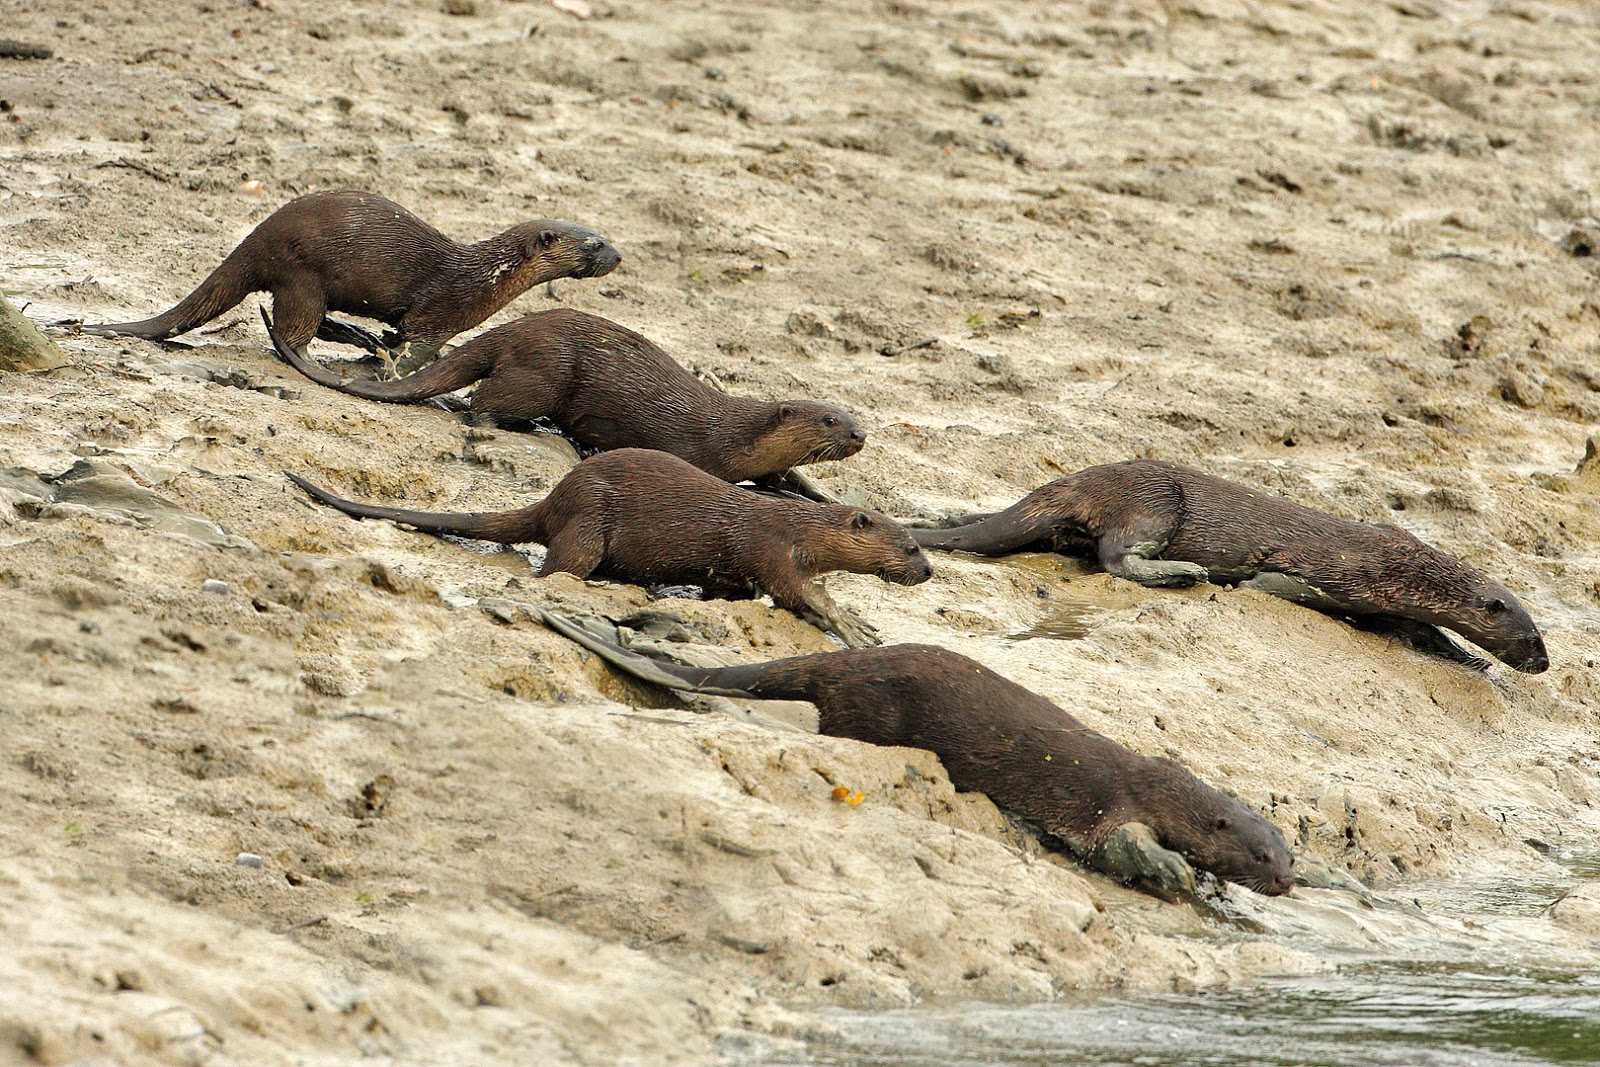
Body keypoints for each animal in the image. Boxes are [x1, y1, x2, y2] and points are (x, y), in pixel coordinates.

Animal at [82, 190, 620, 359]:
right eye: (593, 243)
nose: (618, 256)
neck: (482, 278)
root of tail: (256, 239)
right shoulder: (439, 311)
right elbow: (418, 341)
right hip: (302, 275)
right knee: (294, 331)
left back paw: (359, 336)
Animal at [261, 307, 865, 489]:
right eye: (830, 421)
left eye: (852, 415)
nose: (861, 433)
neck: (734, 432)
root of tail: (514, 328)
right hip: (545, 371)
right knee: (484, 397)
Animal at [287, 448, 932, 646]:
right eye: (908, 547)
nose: (928, 570)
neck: (800, 530)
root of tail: (555, 497)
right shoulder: (771, 549)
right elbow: (801, 596)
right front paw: (853, 625)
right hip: (588, 525)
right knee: (559, 568)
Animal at [536, 609, 1296, 898]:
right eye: (1262, 854)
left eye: (1292, 854)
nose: (1289, 880)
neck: (1167, 788)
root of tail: (845, 662)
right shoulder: (1115, 799)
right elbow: (1116, 842)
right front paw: (1172, 866)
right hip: (871, 708)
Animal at [912, 460, 1548, 673]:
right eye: (1532, 636)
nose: (1541, 664)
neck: (1406, 568)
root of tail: (1076, 482)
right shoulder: (1346, 574)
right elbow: (1292, 584)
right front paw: (1262, 580)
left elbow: (1423, 632)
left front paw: (1466, 657)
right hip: (1154, 502)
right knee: (1115, 557)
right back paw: (1182, 573)